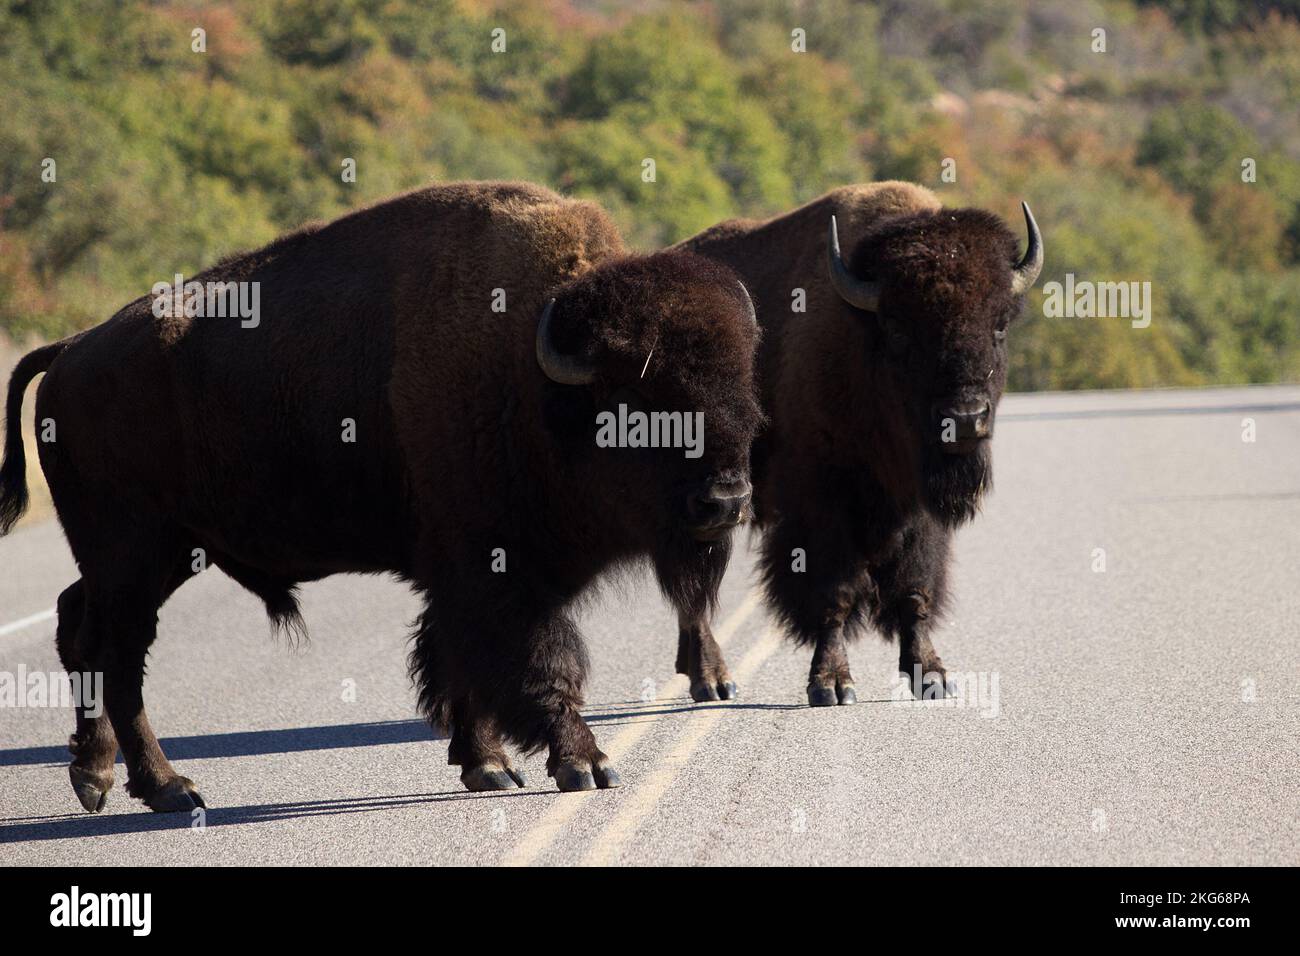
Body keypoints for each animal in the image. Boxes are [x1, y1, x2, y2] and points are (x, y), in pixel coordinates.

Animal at [0, 181, 763, 808]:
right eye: (641, 402)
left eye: (742, 393)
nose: (724, 503)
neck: (530, 372)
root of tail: (70, 351)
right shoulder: (495, 573)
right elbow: (541, 661)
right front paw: (585, 764)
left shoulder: (471, 578)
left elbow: (461, 665)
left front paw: (487, 766)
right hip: (130, 551)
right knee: (116, 653)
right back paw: (168, 788)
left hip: (165, 554)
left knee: (81, 627)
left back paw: (100, 779)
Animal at [673, 182, 1042, 704]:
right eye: (900, 331)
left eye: (999, 325)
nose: (965, 419)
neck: (863, 339)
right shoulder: (822, 502)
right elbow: (835, 591)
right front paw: (830, 684)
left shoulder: (918, 508)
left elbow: (914, 588)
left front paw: (931, 676)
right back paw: (713, 679)